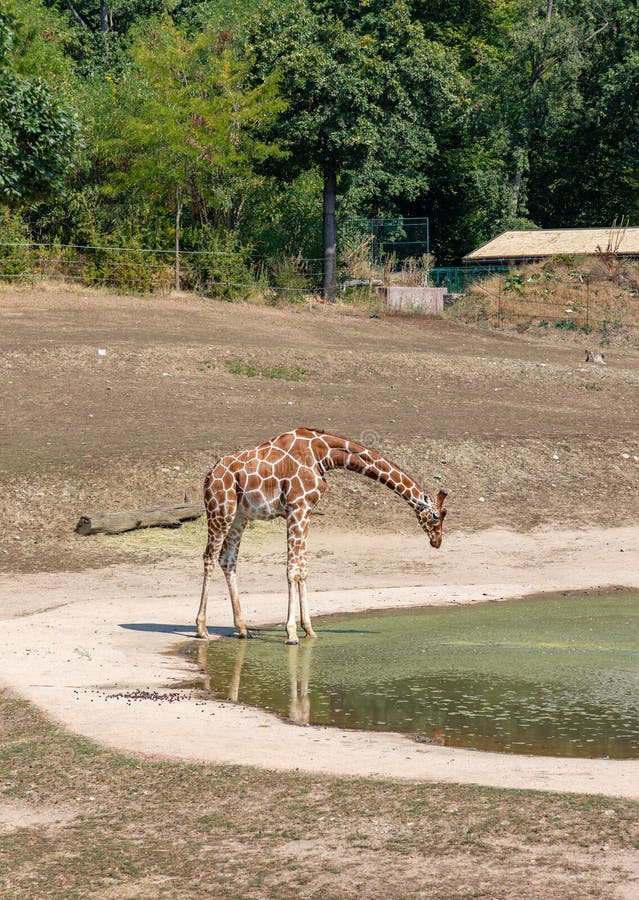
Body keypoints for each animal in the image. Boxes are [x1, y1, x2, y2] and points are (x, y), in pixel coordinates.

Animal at [196, 428, 447, 645]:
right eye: (436, 516)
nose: (437, 541)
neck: (323, 455)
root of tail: (208, 476)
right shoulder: (296, 509)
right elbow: (292, 569)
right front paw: (291, 633)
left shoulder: (306, 513)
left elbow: (303, 569)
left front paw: (309, 630)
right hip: (221, 510)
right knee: (209, 557)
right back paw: (202, 628)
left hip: (240, 516)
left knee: (227, 560)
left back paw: (243, 629)